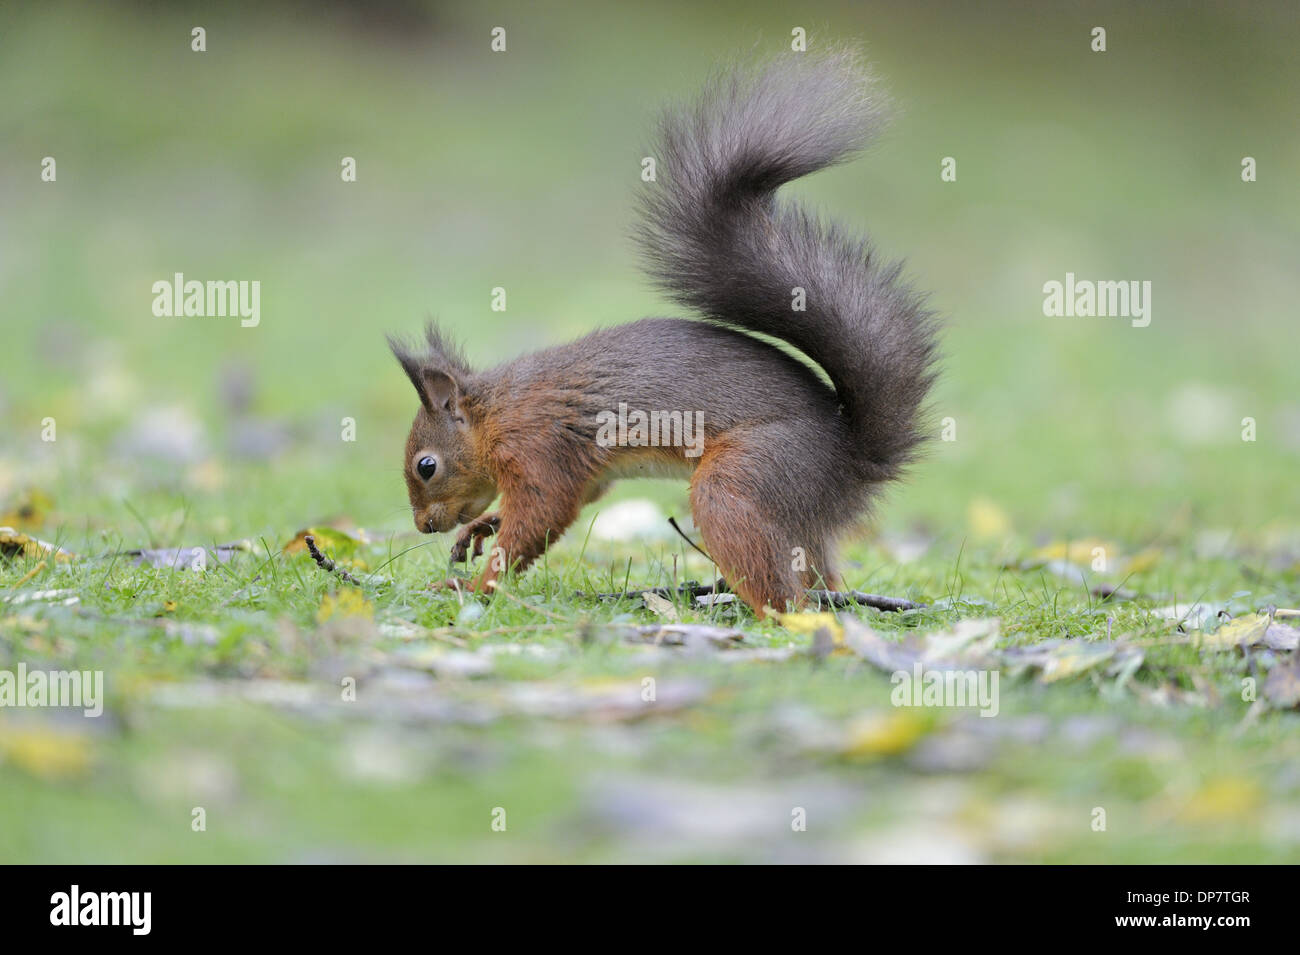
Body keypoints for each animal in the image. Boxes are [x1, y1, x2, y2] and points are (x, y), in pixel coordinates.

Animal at [389, 49, 938, 617]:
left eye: (426, 466)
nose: (423, 525)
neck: (495, 413)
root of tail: (850, 464)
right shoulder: (587, 470)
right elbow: (577, 499)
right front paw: (481, 526)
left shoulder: (539, 446)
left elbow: (541, 515)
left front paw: (473, 587)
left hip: (743, 481)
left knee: (785, 592)